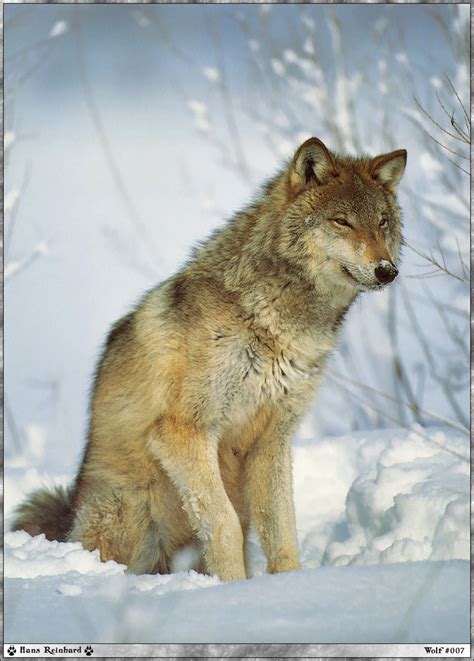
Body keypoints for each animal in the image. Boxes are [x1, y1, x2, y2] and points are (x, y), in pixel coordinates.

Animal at [12, 137, 406, 581]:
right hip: (128, 514)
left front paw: (288, 583)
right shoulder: (183, 431)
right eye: (342, 222)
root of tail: (69, 522)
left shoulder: (272, 439)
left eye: (382, 223)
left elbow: (282, 530)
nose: (387, 269)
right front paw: (232, 587)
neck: (275, 322)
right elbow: (223, 523)